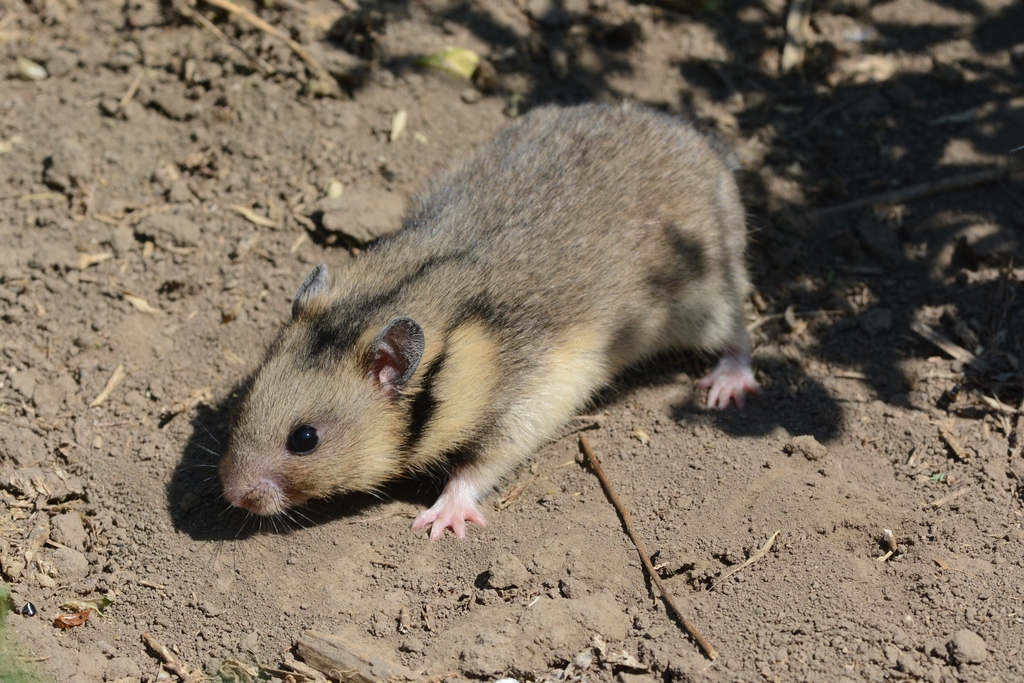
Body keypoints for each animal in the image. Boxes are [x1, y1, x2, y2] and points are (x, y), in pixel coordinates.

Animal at [219, 103, 759, 540]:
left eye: (304, 439)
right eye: (246, 400)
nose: (229, 494)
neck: (450, 354)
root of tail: (706, 147)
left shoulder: (528, 405)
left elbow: (475, 470)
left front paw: (438, 522)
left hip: (702, 301)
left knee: (740, 333)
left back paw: (724, 388)